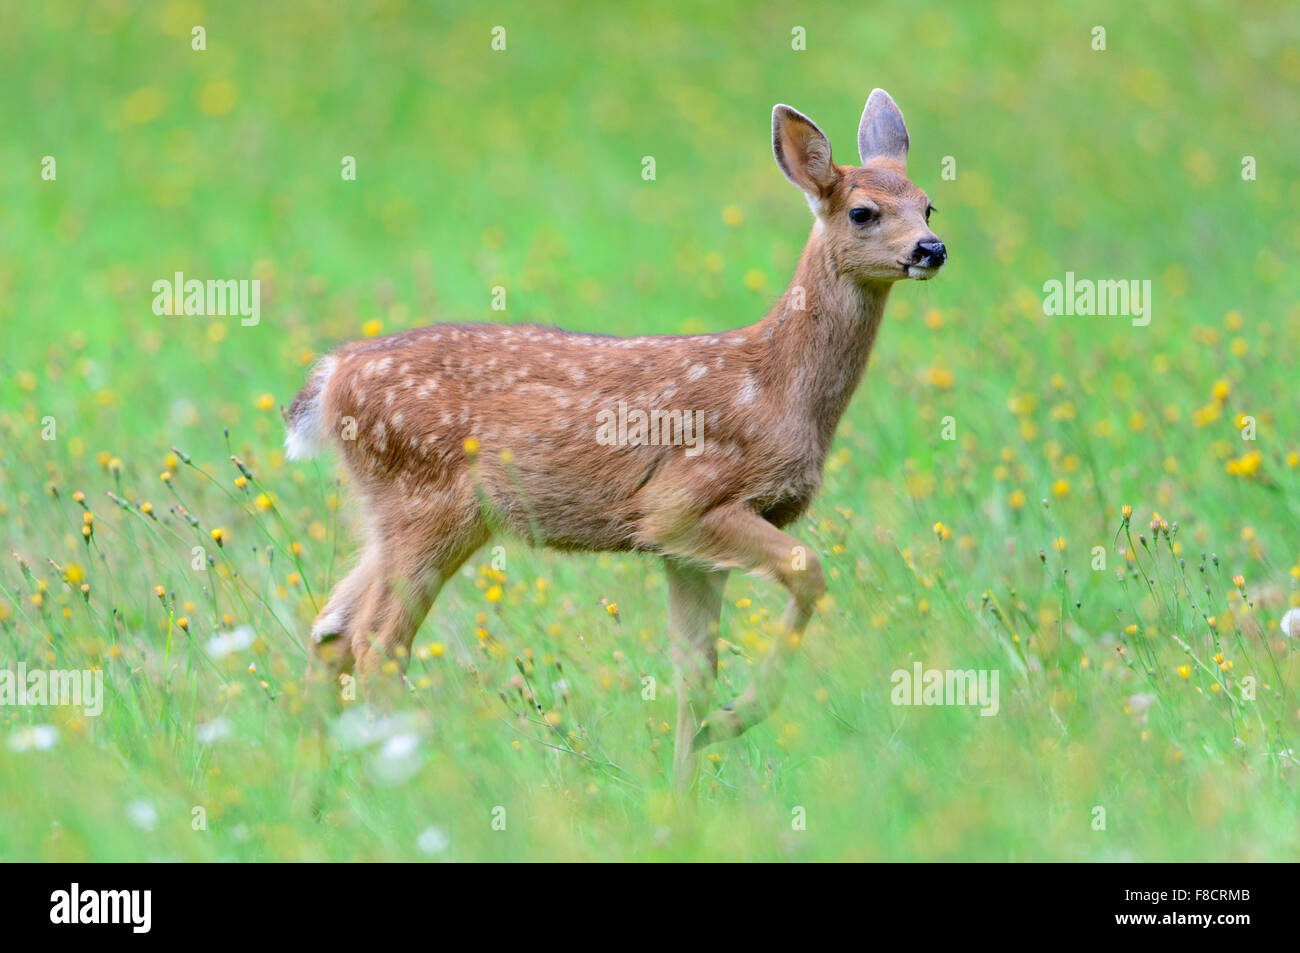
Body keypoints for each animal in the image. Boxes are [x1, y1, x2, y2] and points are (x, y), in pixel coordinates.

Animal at [284, 89, 945, 789]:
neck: (776, 386)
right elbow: (808, 568)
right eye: (862, 211)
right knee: (378, 644)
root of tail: (332, 377)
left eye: (929, 202)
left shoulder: (684, 550)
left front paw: (686, 786)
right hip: (426, 503)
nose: (931, 248)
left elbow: (694, 675)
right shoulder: (682, 503)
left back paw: (314, 798)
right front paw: (734, 721)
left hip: (398, 514)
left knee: (330, 632)